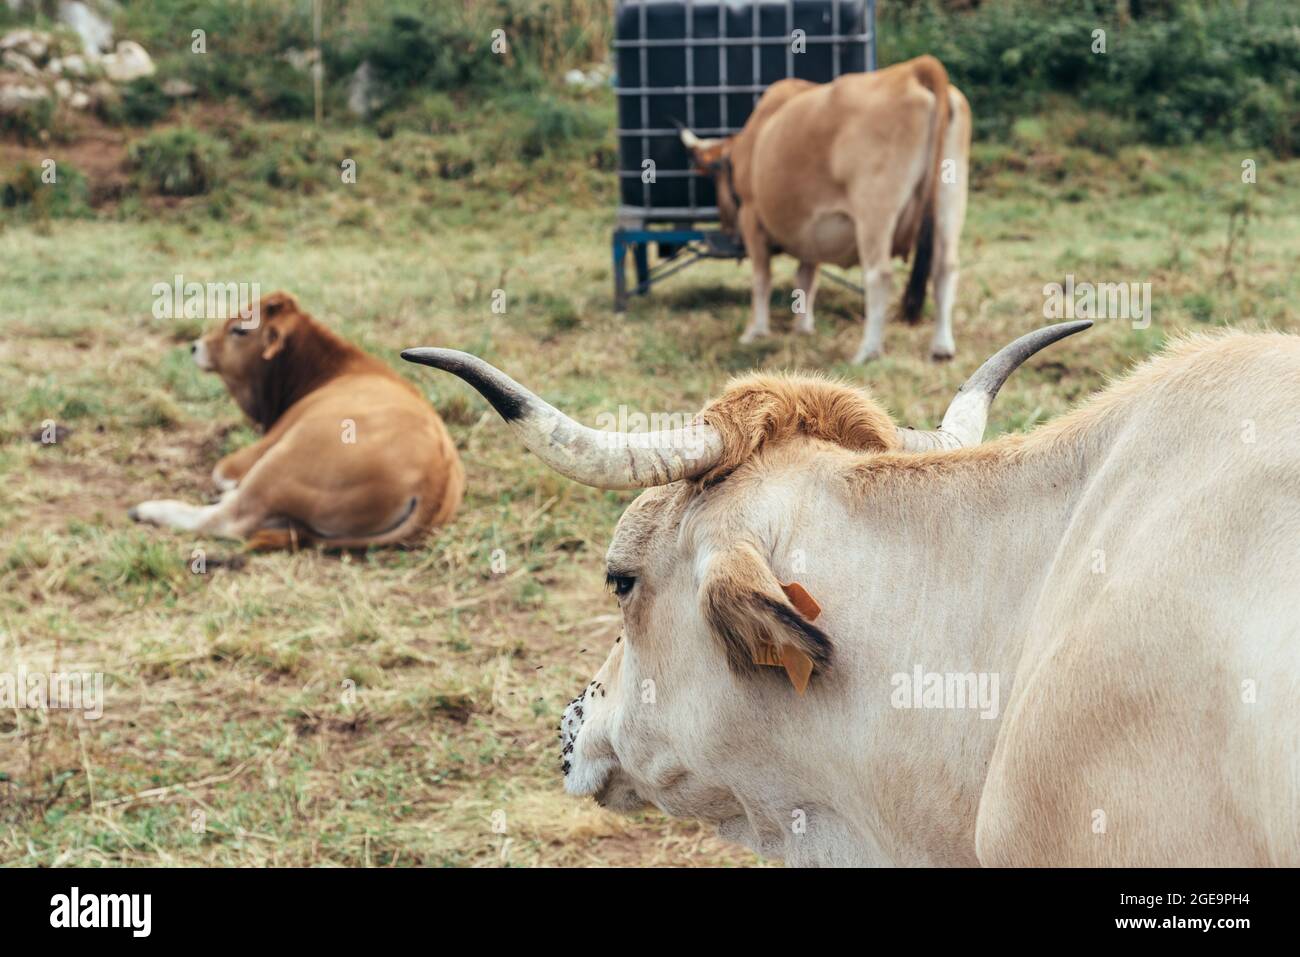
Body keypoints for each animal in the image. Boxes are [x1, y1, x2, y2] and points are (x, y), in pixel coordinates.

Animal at [130, 291, 463, 549]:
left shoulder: (252, 452)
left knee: (227, 520)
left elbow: (220, 472)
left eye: (239, 329)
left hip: (277, 464)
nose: (196, 346)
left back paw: (149, 510)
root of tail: (435, 483)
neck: (334, 370)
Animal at [679, 55, 971, 364]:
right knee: (944, 268)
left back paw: (868, 350)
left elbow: (761, 278)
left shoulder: (751, 216)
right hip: (950, 199)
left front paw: (755, 331)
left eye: (716, 181)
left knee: (878, 275)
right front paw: (802, 327)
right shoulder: (812, 228)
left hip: (874, 208)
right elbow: (807, 277)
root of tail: (913, 69)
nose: (729, 234)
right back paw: (941, 347)